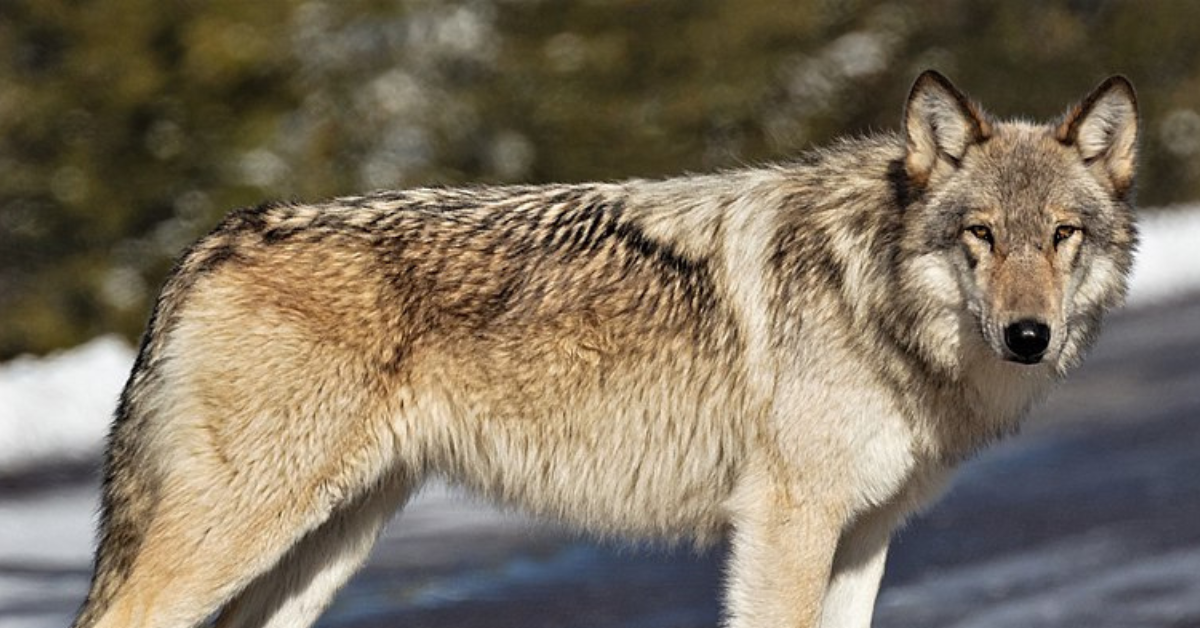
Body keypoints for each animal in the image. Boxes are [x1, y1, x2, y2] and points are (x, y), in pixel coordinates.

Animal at [73, 70, 1138, 628]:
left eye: (1062, 236)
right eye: (982, 236)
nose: (1029, 336)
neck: (873, 297)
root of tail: (215, 239)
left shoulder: (865, 532)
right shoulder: (787, 523)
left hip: (326, 545)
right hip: (244, 533)